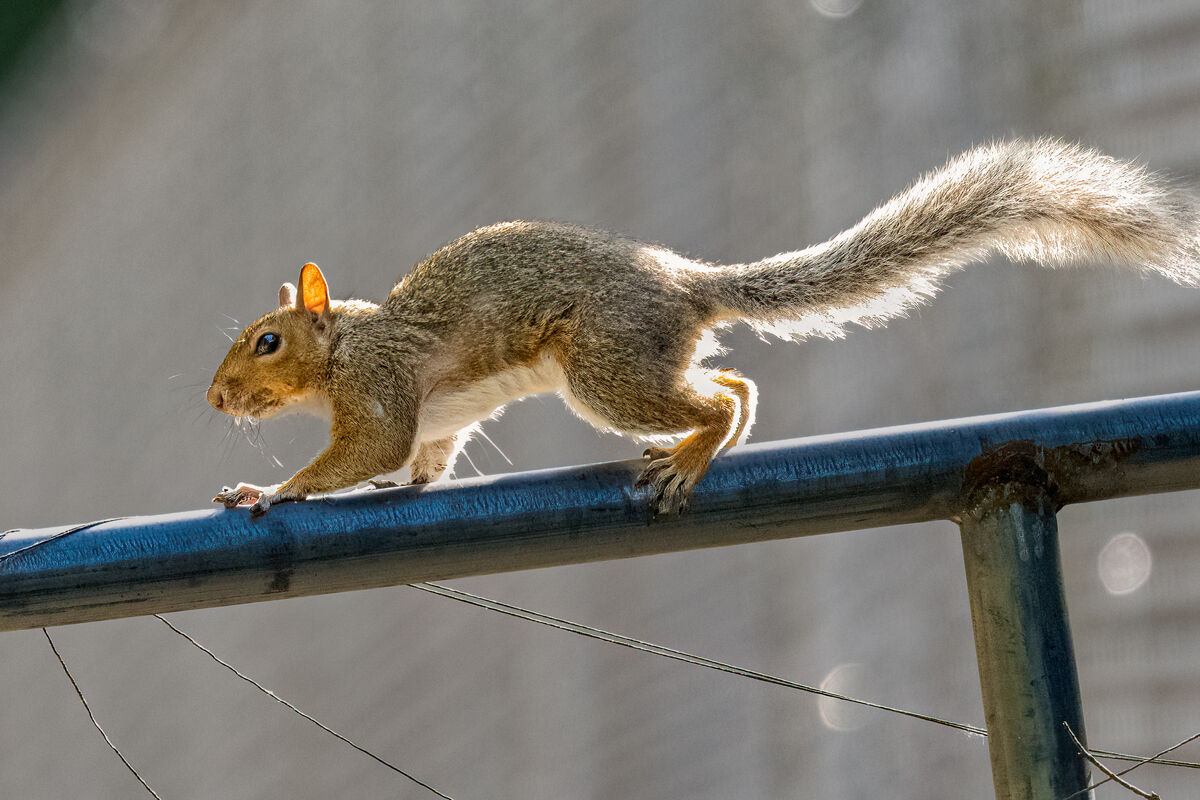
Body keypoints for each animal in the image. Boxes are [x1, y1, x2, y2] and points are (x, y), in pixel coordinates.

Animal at [208, 139, 1200, 516]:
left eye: (267, 341)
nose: (215, 399)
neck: (345, 343)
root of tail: (684, 285)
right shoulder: (437, 416)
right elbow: (422, 461)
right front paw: (404, 485)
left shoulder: (377, 385)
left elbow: (362, 451)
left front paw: (272, 491)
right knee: (730, 384)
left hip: (605, 369)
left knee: (725, 394)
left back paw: (691, 455)